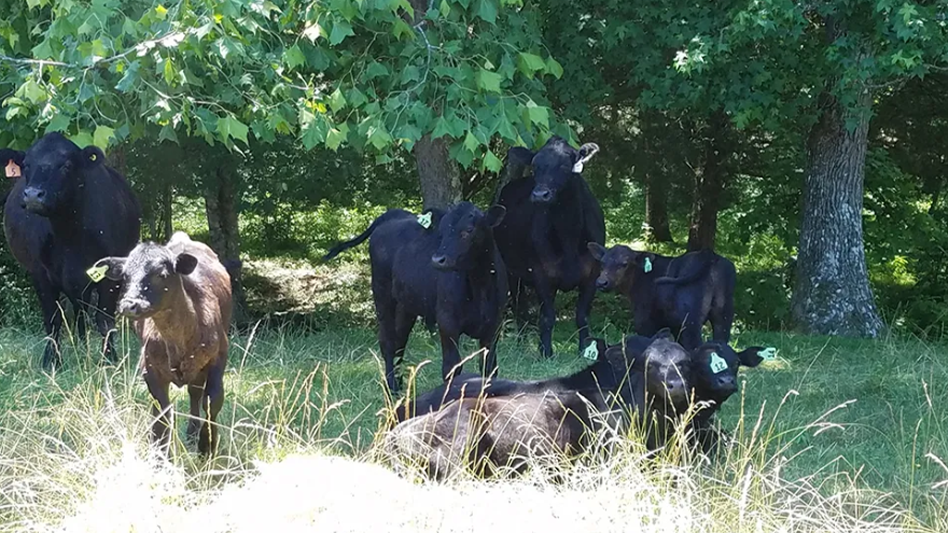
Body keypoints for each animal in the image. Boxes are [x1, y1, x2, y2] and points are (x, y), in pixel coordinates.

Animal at [2, 134, 141, 369]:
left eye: (66, 165)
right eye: (27, 165)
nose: (33, 195)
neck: (68, 232)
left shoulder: (110, 273)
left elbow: (105, 319)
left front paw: (109, 360)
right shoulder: (40, 274)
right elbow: (53, 319)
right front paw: (51, 361)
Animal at [94, 232, 232, 455]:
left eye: (161, 274)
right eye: (125, 276)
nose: (129, 305)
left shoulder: (219, 357)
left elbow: (212, 401)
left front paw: (207, 445)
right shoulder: (150, 368)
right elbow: (161, 413)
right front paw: (159, 452)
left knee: (195, 392)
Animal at [323, 202, 508, 392]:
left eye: (469, 230)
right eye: (441, 232)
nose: (437, 259)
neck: (480, 285)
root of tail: (393, 214)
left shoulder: (494, 324)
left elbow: (489, 367)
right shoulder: (447, 322)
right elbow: (452, 367)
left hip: (406, 306)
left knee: (400, 341)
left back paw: (399, 381)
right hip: (382, 294)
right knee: (387, 341)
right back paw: (391, 385)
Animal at [494, 136, 606, 359]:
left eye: (564, 166)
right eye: (535, 166)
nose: (539, 194)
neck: (569, 234)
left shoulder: (592, 274)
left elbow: (582, 316)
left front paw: (585, 350)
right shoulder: (542, 274)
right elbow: (547, 317)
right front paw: (545, 352)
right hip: (512, 273)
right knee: (520, 309)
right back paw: (521, 345)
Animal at [588, 244, 736, 350]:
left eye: (624, 264)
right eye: (602, 263)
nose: (601, 282)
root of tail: (709, 255)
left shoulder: (644, 321)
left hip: (691, 321)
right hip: (723, 315)